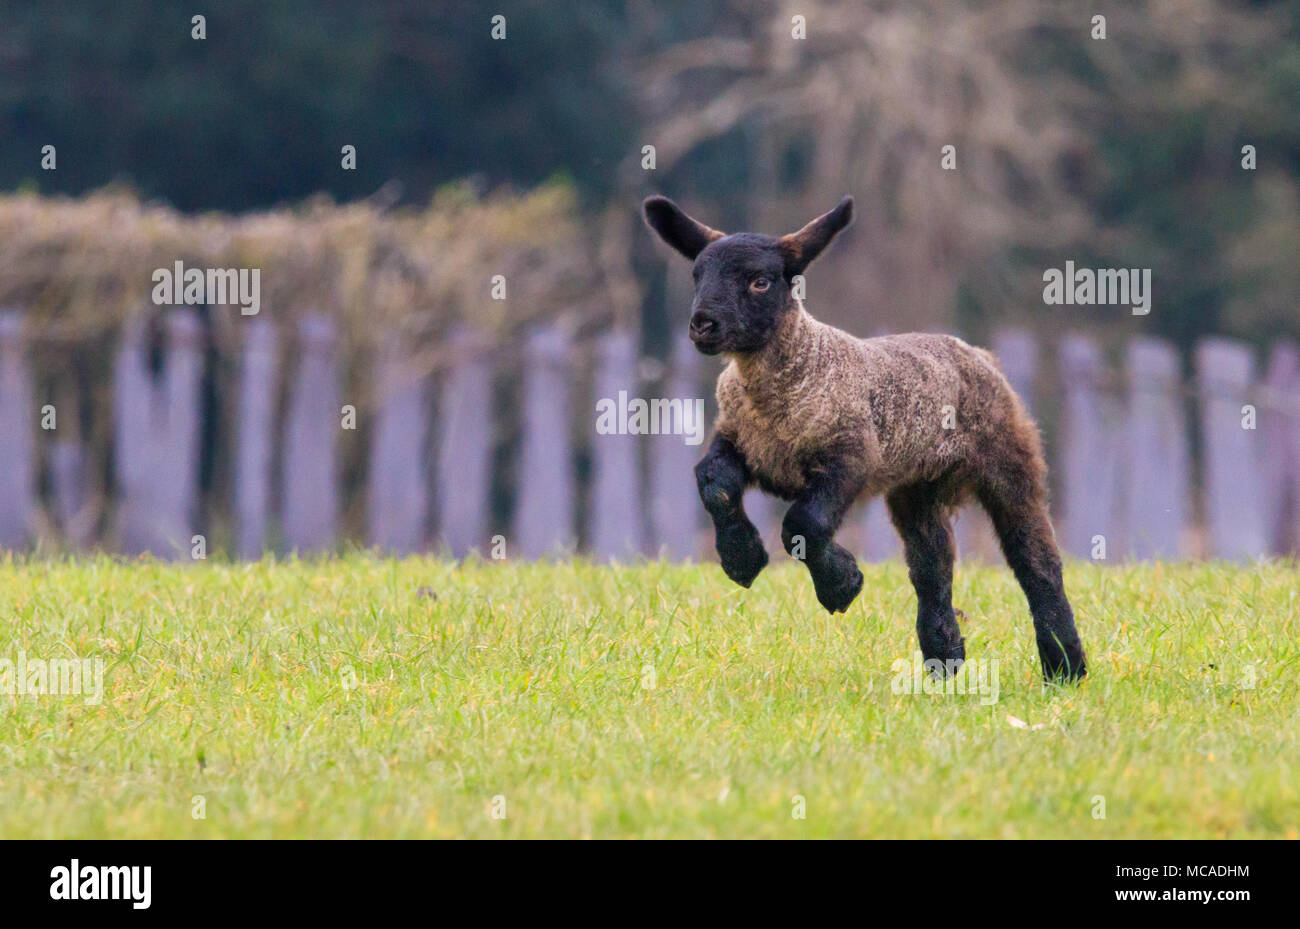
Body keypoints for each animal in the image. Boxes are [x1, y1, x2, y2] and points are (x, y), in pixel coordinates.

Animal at [643, 194, 1087, 682]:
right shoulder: (740, 441)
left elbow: (805, 523)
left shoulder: (852, 456)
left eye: (760, 282)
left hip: (1008, 461)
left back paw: (1065, 668)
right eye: (696, 276)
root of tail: (978, 353)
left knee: (1036, 560)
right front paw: (741, 559)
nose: (702, 325)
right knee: (933, 567)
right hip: (917, 489)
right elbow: (714, 482)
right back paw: (945, 659)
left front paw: (841, 585)